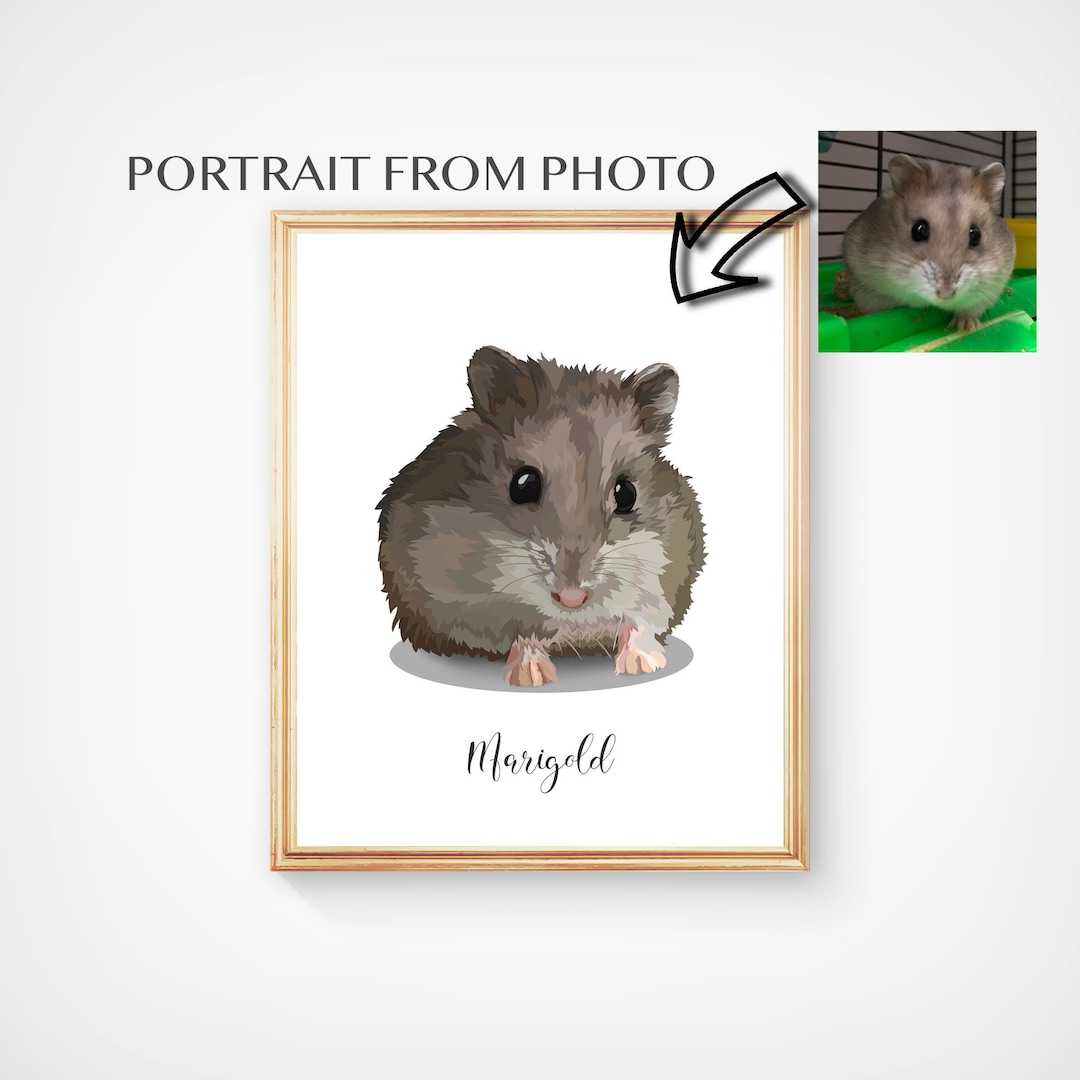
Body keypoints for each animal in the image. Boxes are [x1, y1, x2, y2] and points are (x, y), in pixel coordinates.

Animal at [377, 346, 705, 687]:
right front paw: (532, 677)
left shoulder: (668, 575)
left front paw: (644, 666)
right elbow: (522, 632)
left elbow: (641, 619)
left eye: (626, 493)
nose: (572, 598)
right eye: (523, 485)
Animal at [842, 154, 1015, 333]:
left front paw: (966, 327)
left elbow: (970, 310)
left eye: (976, 234)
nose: (945, 294)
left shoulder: (992, 288)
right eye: (919, 230)